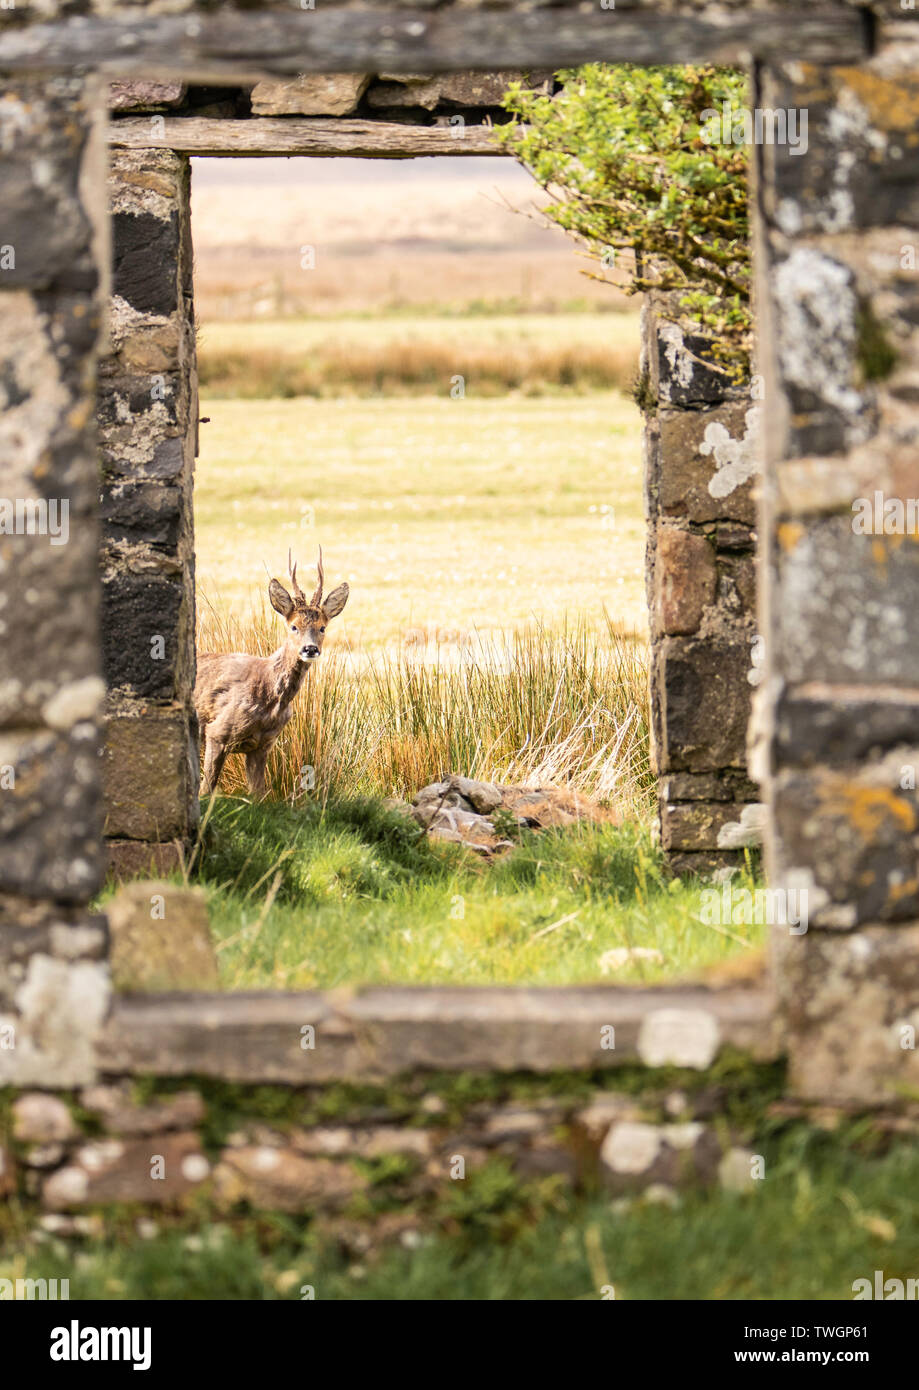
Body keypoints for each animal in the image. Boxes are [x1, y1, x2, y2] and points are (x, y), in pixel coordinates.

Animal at [194, 549, 349, 798]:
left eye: (322, 628)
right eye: (293, 626)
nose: (310, 649)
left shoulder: (262, 744)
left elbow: (259, 794)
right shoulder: (216, 731)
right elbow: (206, 789)